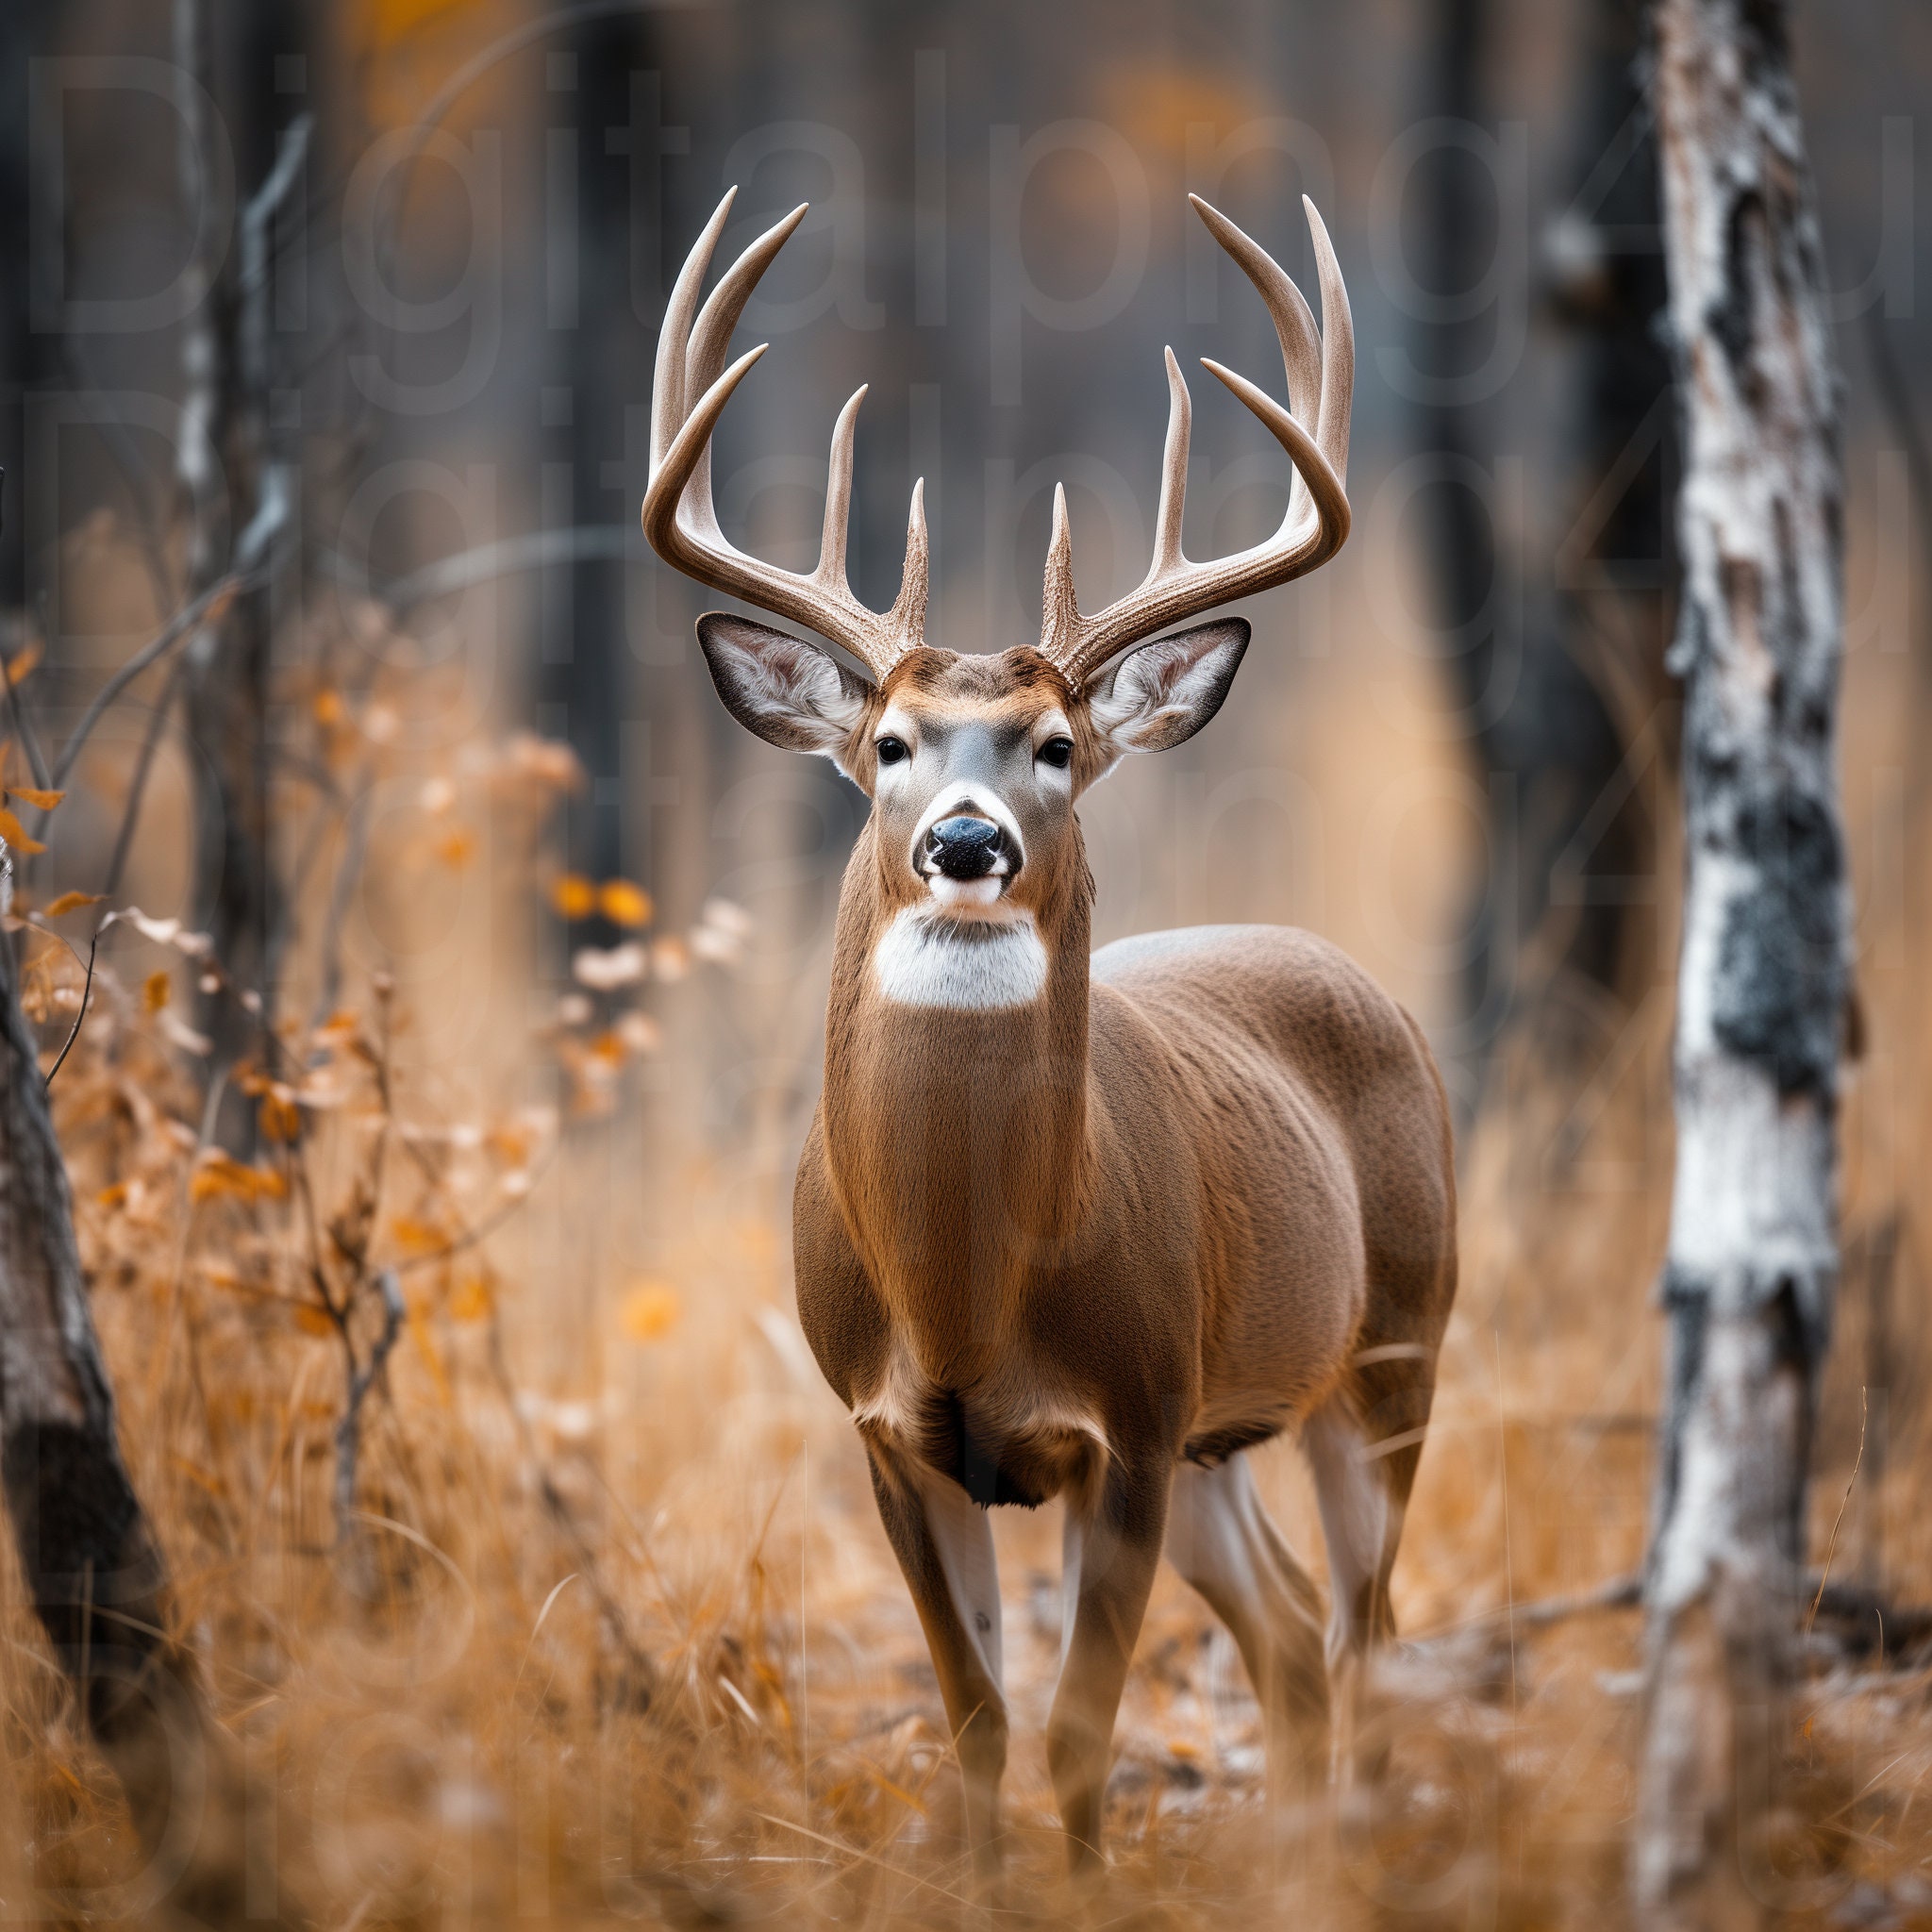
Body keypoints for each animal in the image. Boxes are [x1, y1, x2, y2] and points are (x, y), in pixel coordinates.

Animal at [642, 185, 1457, 1887]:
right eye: (888, 742)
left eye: (1060, 746)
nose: (967, 841)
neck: (961, 1291)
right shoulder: (891, 1437)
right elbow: (976, 1726)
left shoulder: (1131, 1422)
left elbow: (1080, 1732)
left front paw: (1082, 1891)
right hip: (1230, 1435)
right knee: (1294, 1632)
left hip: (1392, 1352)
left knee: (1367, 1638)